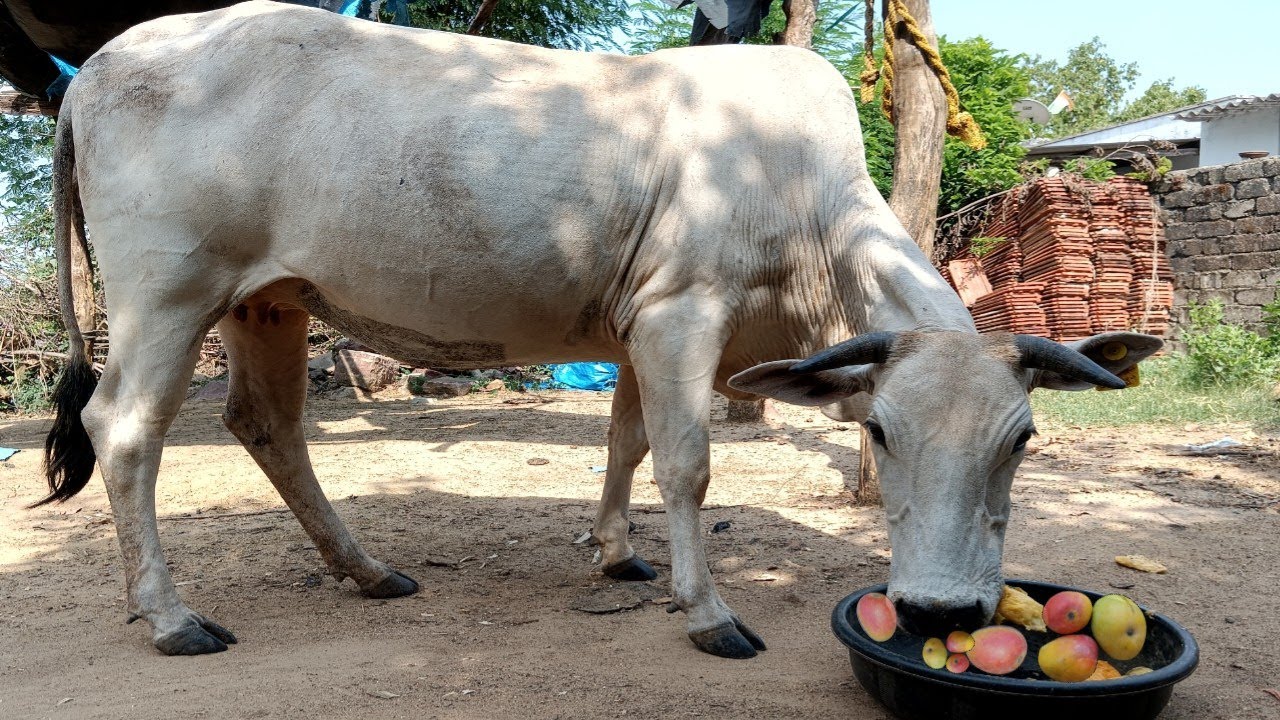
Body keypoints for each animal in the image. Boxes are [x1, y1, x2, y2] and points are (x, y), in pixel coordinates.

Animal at [38, 1, 1161, 660]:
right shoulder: (680, 310)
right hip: (167, 294)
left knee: (267, 425)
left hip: (264, 301)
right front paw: (709, 611)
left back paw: (366, 571)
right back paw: (170, 616)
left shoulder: (636, 331)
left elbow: (627, 444)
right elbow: (687, 463)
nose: (939, 615)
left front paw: (619, 556)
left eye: (1023, 440)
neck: (800, 194)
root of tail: (90, 71)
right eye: (880, 434)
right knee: (123, 433)